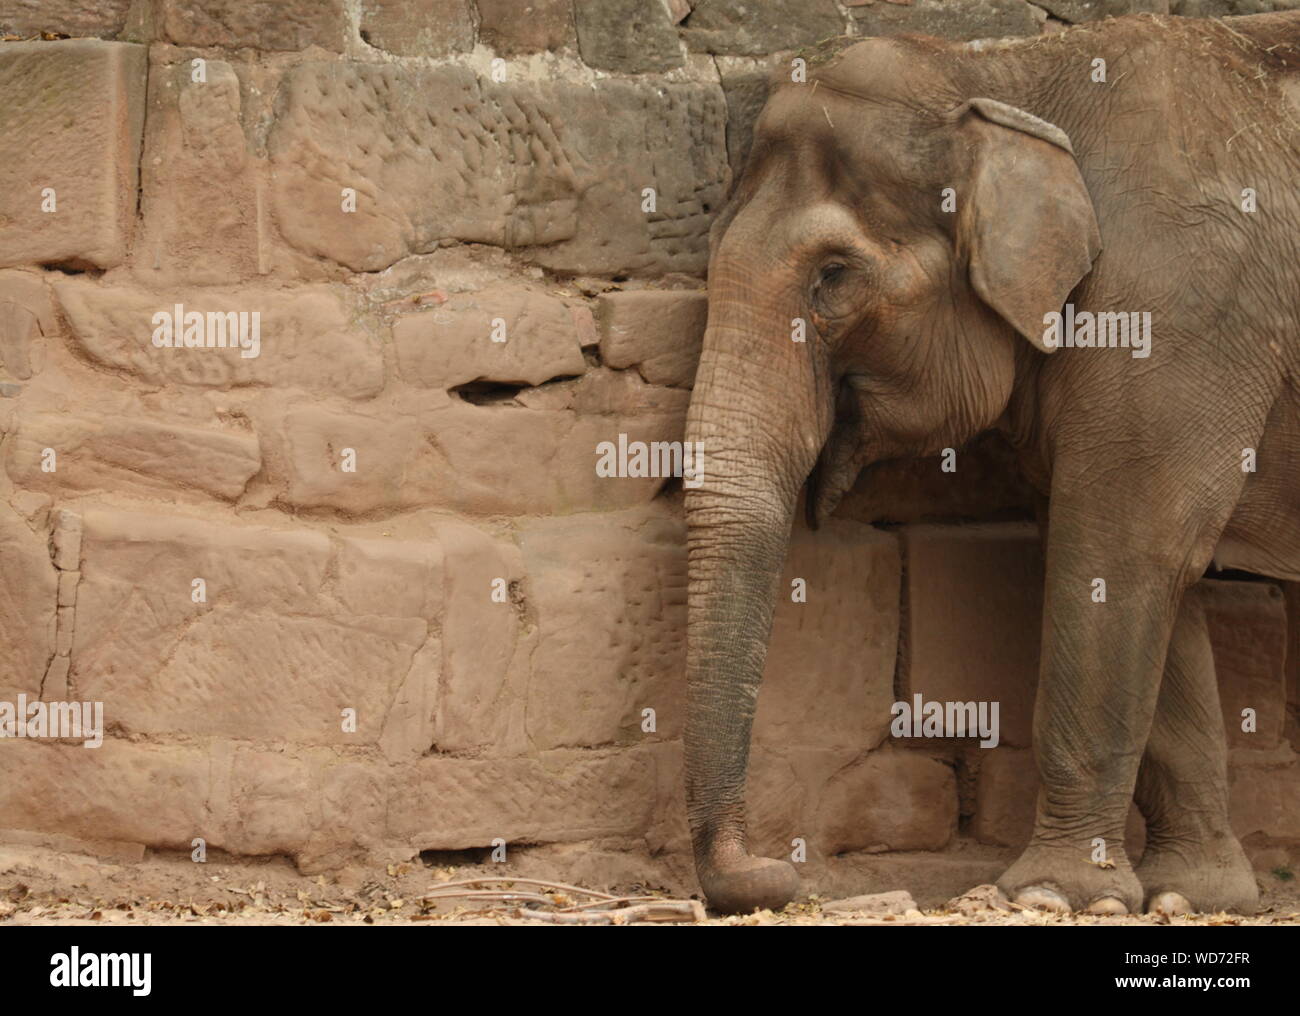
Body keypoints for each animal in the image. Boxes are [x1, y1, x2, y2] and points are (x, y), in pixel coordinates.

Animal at [683, 11, 1300, 916]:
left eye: (833, 277)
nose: (774, 872)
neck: (1004, 75)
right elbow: (1155, 575)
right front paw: (1194, 892)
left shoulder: (1179, 314)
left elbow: (1120, 550)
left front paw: (1052, 892)